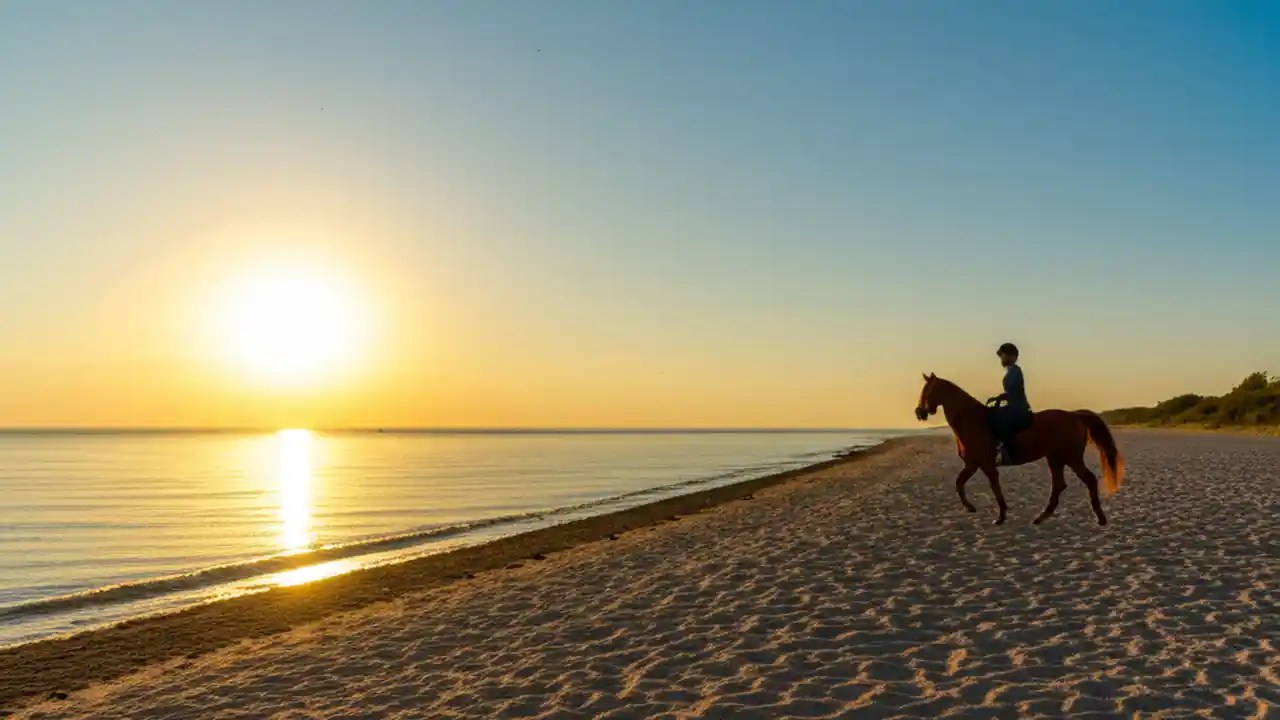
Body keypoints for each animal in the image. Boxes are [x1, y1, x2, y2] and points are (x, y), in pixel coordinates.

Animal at [915, 373, 1124, 526]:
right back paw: (1041, 517)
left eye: (929, 390)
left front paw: (1000, 517)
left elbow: (995, 489)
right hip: (1055, 458)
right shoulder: (972, 464)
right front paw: (970, 508)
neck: (972, 421)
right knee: (1059, 485)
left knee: (1089, 480)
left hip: (1072, 458)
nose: (919, 413)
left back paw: (1100, 518)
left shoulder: (987, 465)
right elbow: (959, 483)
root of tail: (1075, 415)